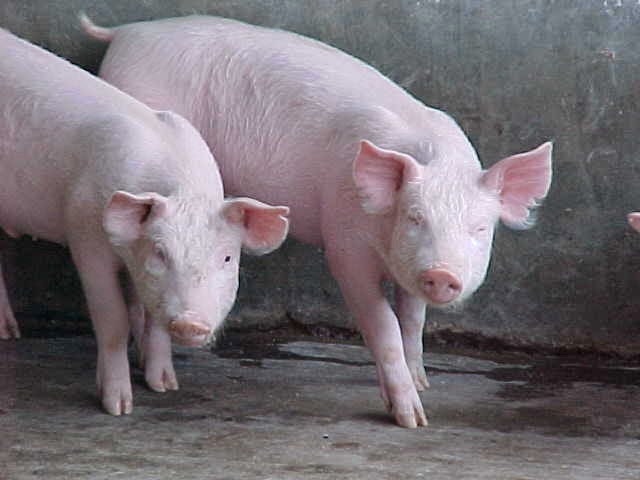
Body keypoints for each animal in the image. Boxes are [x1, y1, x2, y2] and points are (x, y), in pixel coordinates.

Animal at [0, 28, 289, 415]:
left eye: (228, 257)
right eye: (160, 253)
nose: (191, 322)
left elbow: (153, 318)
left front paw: (165, 386)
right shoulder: (84, 234)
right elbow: (113, 319)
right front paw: (119, 406)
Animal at [81, 14, 553, 428]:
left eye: (480, 229)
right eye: (415, 217)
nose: (442, 273)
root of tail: (127, 32)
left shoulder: (408, 269)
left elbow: (413, 318)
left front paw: (424, 382)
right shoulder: (344, 246)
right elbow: (383, 324)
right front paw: (413, 419)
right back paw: (162, 384)